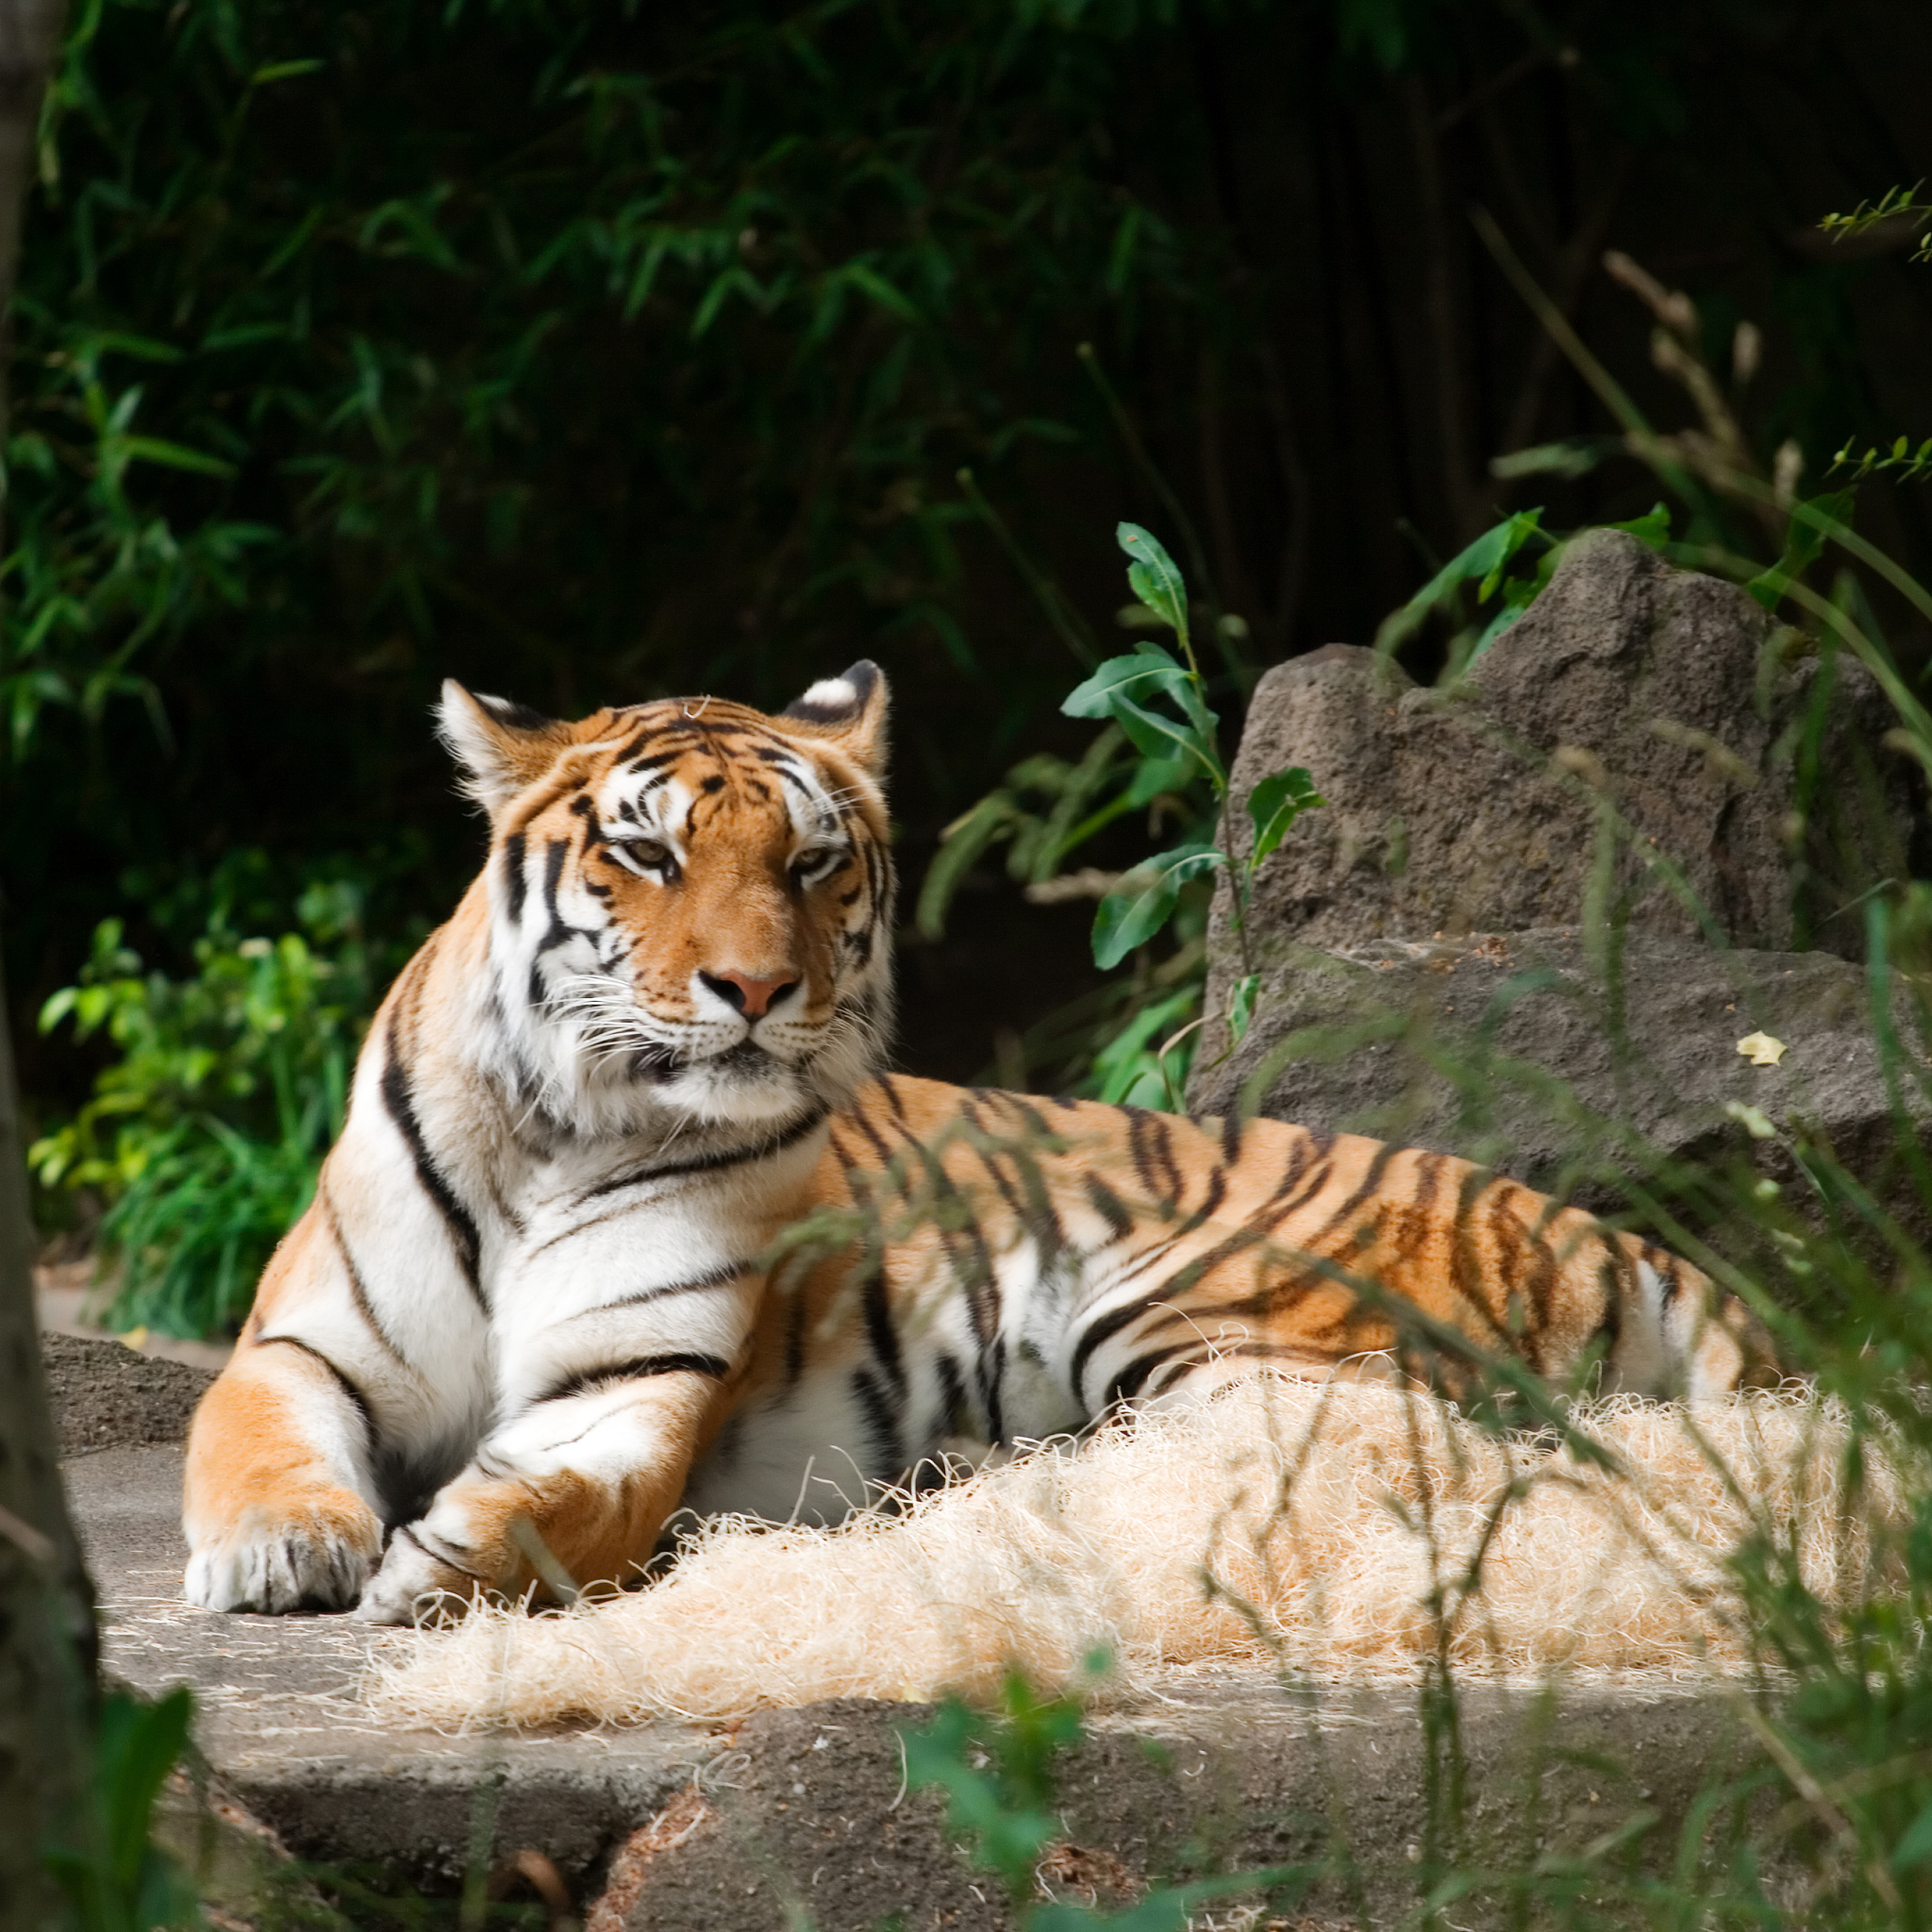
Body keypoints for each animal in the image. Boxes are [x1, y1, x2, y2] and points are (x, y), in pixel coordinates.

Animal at [181, 661, 1776, 1620]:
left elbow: (592, 1499)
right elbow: (246, 1438)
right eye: (646, 852)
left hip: (1204, 1308)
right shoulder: (304, 1345)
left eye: (812, 862)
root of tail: (1598, 1230)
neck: (559, 1131)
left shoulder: (630, 1380)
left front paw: (452, 1553)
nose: (755, 989)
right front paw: (280, 1552)